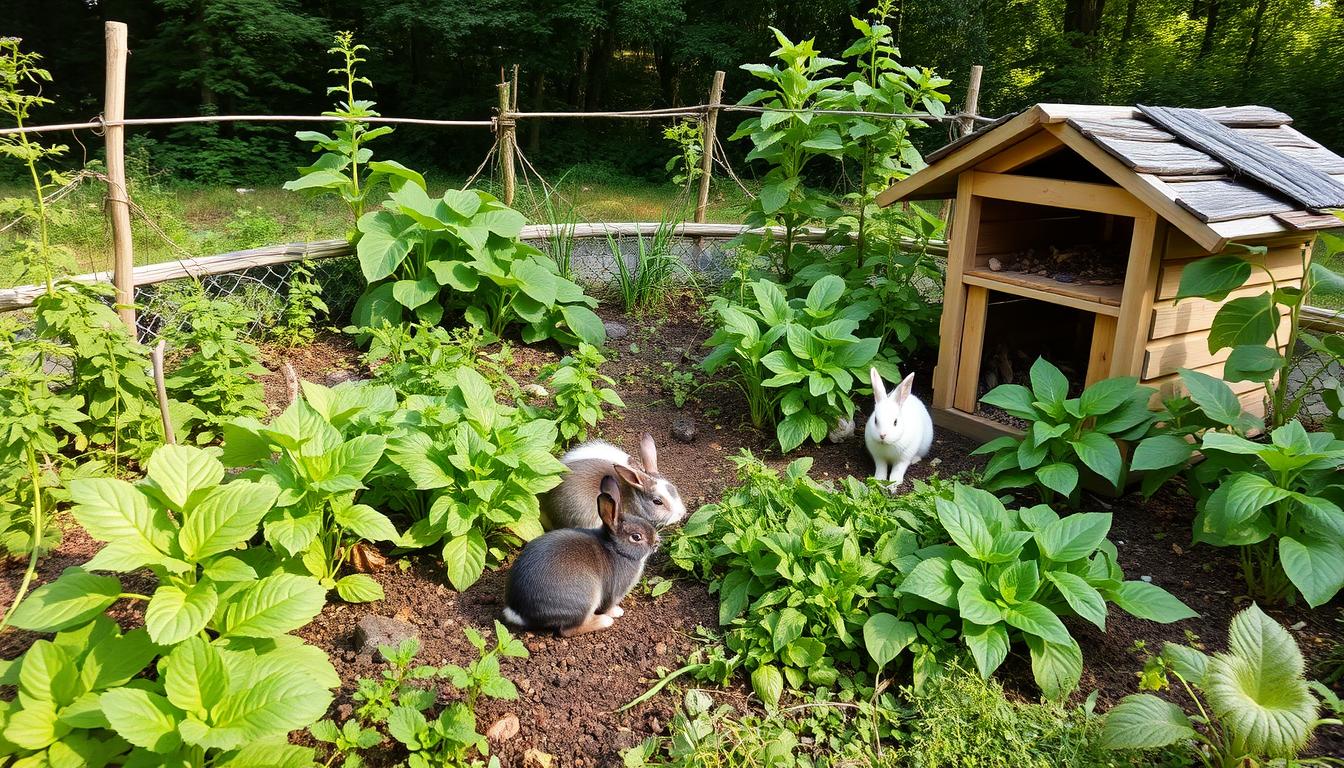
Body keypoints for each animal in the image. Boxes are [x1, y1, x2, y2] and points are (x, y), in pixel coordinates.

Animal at [502, 475, 659, 636]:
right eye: (636, 537)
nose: (656, 542)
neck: (616, 548)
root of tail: (519, 612)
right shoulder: (615, 592)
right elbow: (609, 606)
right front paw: (616, 612)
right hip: (584, 600)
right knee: (568, 630)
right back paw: (604, 621)